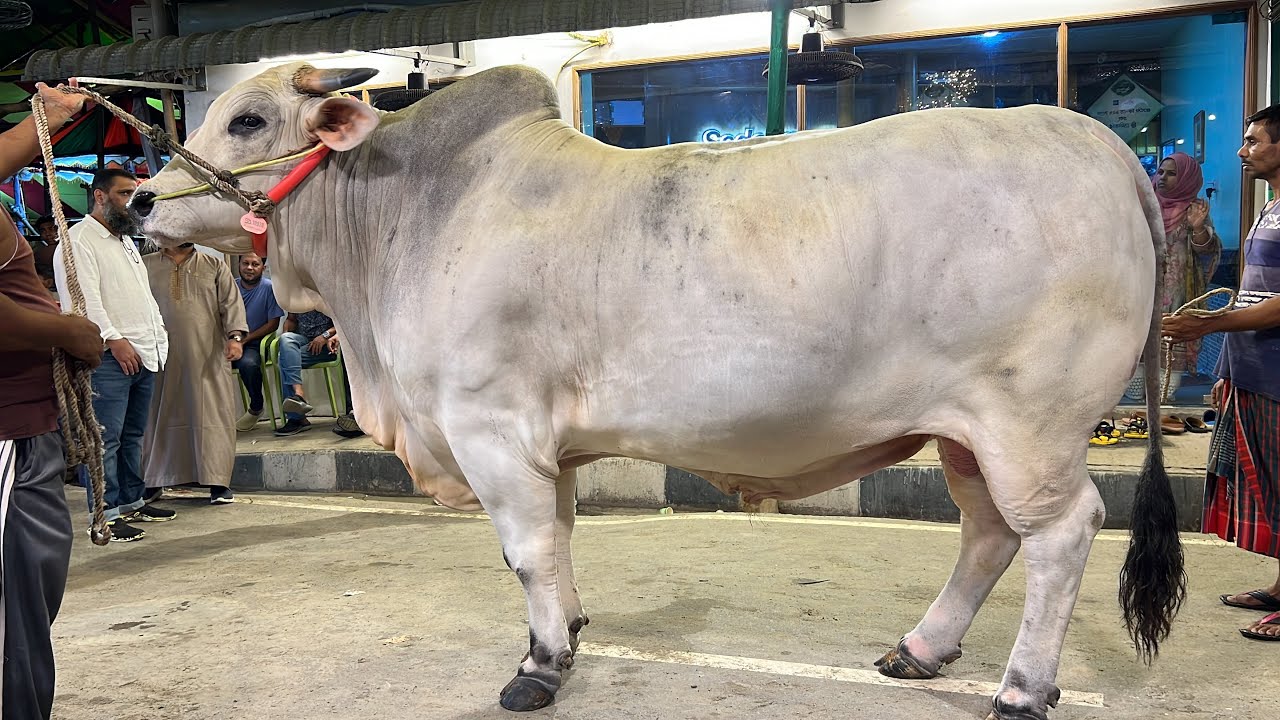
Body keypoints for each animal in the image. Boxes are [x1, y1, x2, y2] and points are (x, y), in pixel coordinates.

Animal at [131, 62, 1184, 719]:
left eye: (249, 119)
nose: (140, 199)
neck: (409, 216)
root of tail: (1093, 140)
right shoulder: (541, 446)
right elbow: (556, 542)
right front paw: (567, 629)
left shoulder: (489, 427)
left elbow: (525, 552)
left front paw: (540, 666)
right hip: (966, 434)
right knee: (988, 536)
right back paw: (921, 649)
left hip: (1029, 425)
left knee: (1062, 533)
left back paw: (1022, 686)